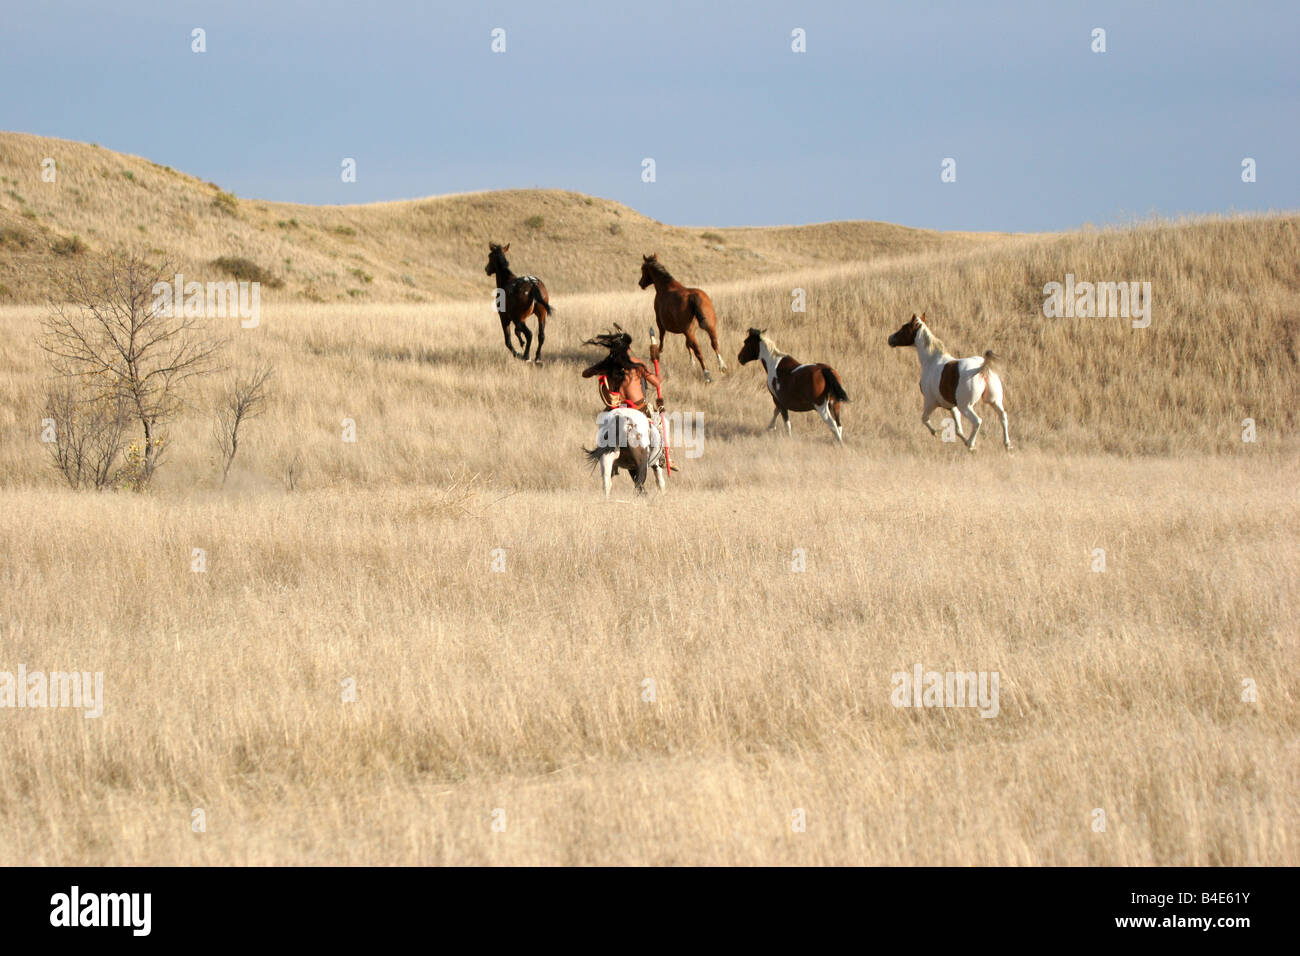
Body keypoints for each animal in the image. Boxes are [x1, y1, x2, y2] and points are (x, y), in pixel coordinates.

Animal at [638, 254, 727, 382]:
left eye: (643, 269)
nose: (640, 283)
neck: (666, 287)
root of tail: (694, 298)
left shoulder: (660, 322)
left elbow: (661, 337)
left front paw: (658, 352)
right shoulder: (686, 332)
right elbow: (687, 345)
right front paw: (691, 363)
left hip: (691, 332)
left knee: (699, 352)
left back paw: (707, 375)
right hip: (710, 327)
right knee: (714, 344)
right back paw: (722, 366)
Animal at [887, 313, 1011, 453]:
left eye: (904, 327)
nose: (890, 339)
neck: (932, 361)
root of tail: (981, 368)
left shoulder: (930, 402)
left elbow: (925, 419)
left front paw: (936, 432)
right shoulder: (952, 407)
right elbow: (958, 430)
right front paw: (964, 441)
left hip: (966, 407)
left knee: (977, 421)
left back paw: (971, 445)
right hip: (994, 401)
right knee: (1003, 416)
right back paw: (1007, 445)